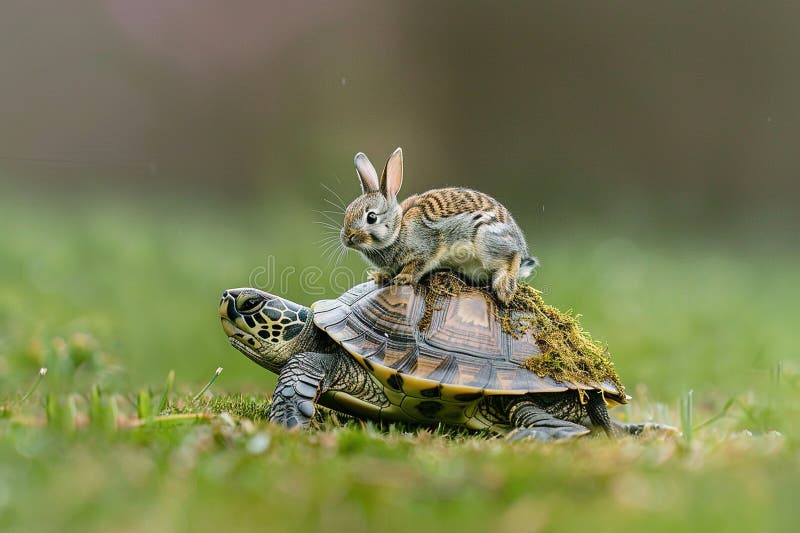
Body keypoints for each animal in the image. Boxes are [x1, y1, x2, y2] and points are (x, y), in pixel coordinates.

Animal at [340, 147, 537, 304]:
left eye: (371, 217)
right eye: (347, 211)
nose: (347, 238)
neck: (398, 231)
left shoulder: (426, 249)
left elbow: (418, 265)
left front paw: (403, 278)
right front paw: (379, 276)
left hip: (487, 240)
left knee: (511, 257)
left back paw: (504, 289)